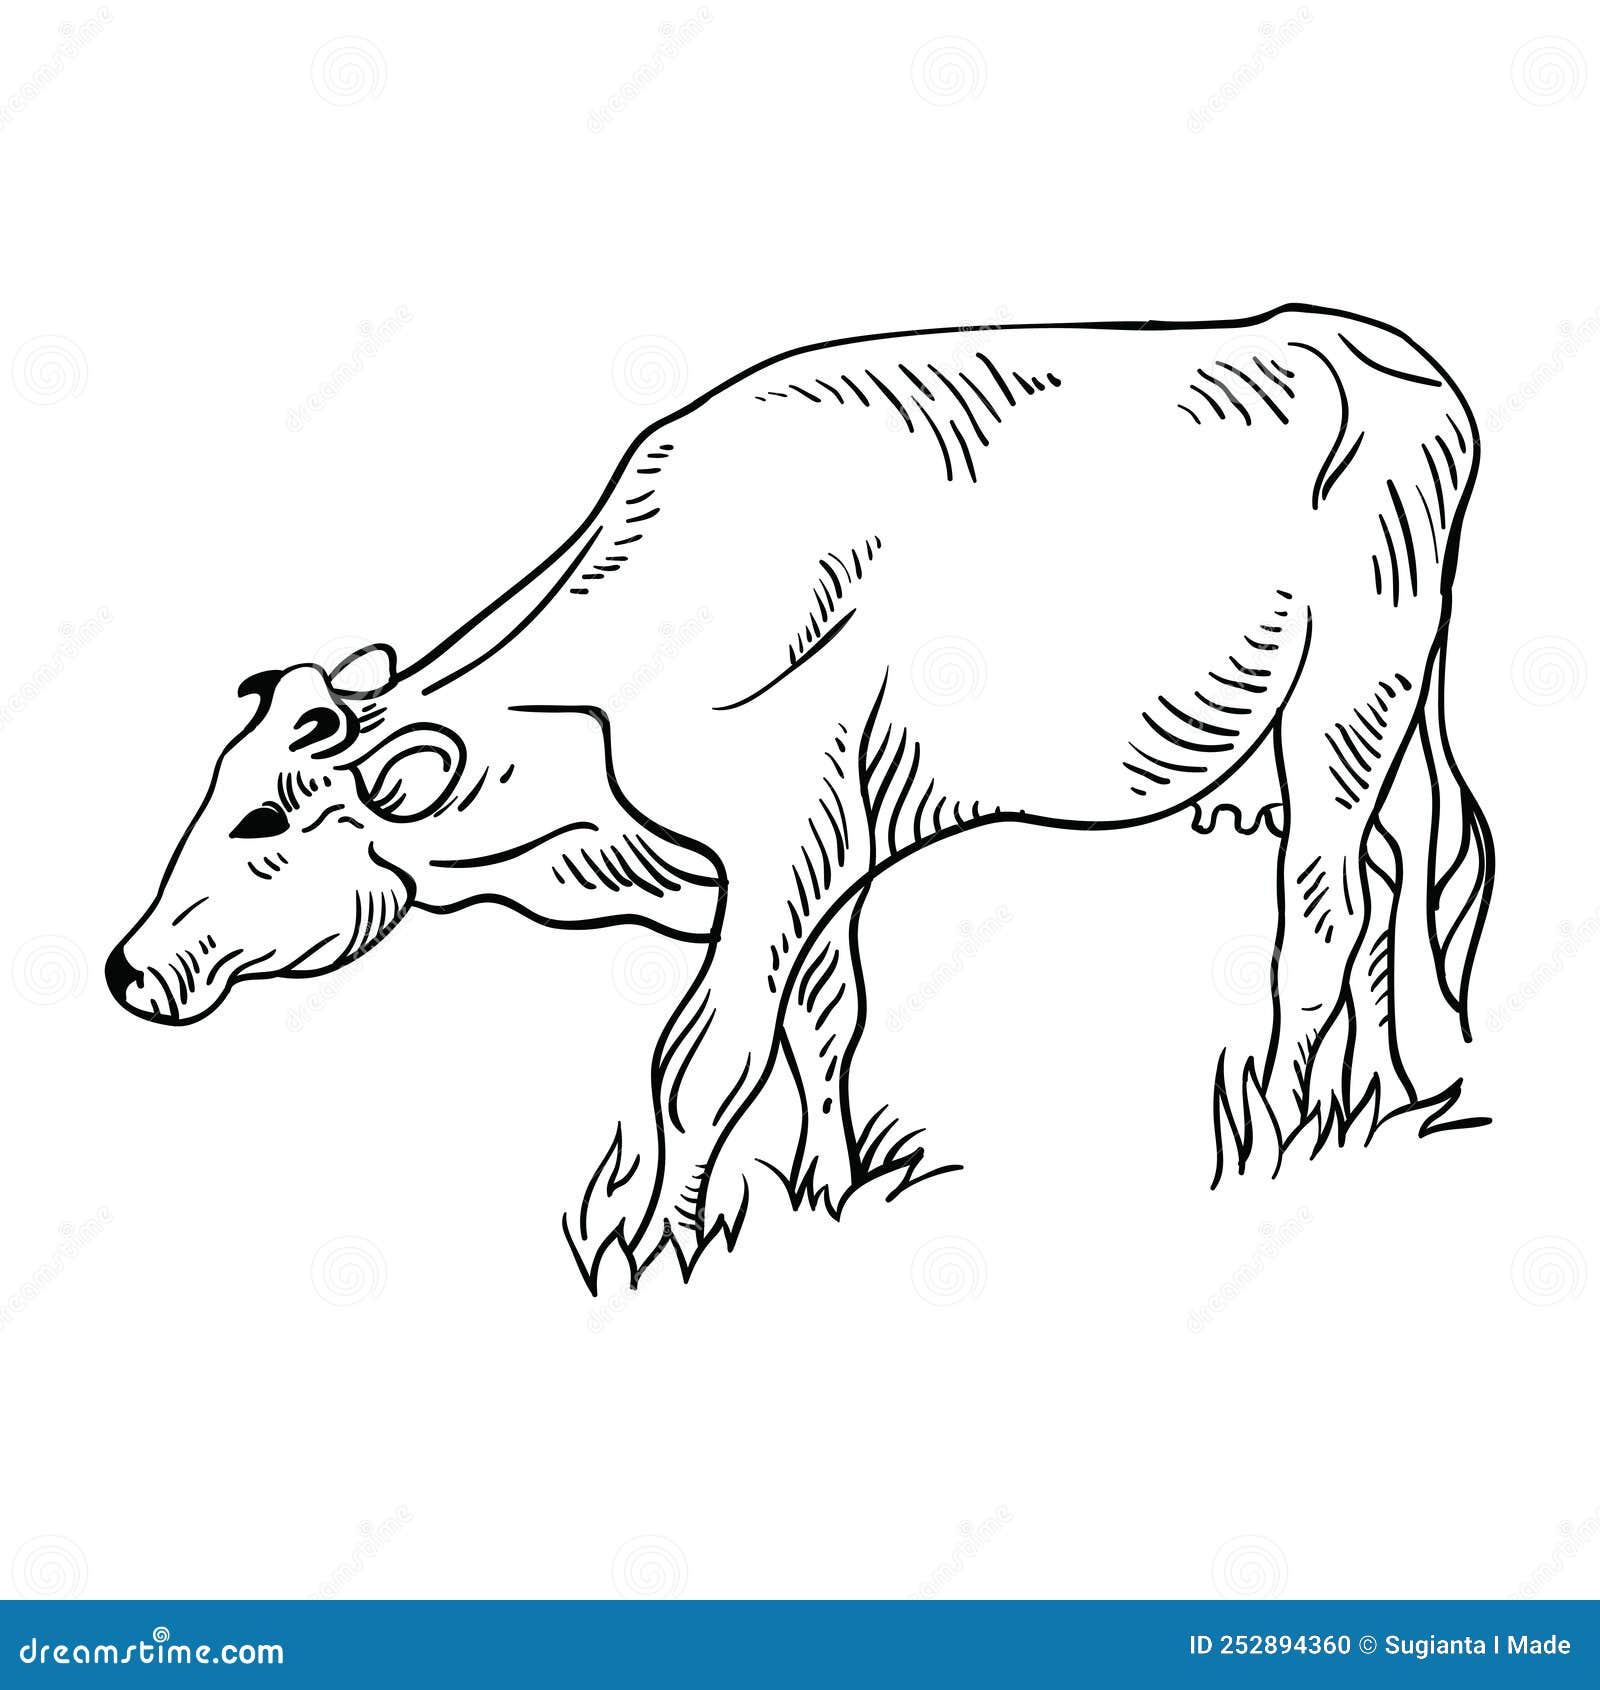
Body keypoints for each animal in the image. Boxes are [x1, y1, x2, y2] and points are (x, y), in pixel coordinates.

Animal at [107, 305, 1494, 1291]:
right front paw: (827, 1185)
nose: (127, 967)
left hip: (1342, 707)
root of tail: (1362, 342)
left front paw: (651, 1244)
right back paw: (1395, 1085)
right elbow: (824, 1024)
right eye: (217, 795)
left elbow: (700, 1059)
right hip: (1383, 730)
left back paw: (1292, 1122)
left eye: (265, 823)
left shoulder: (782, 853)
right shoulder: (830, 859)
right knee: (1399, 873)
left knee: (1322, 909)